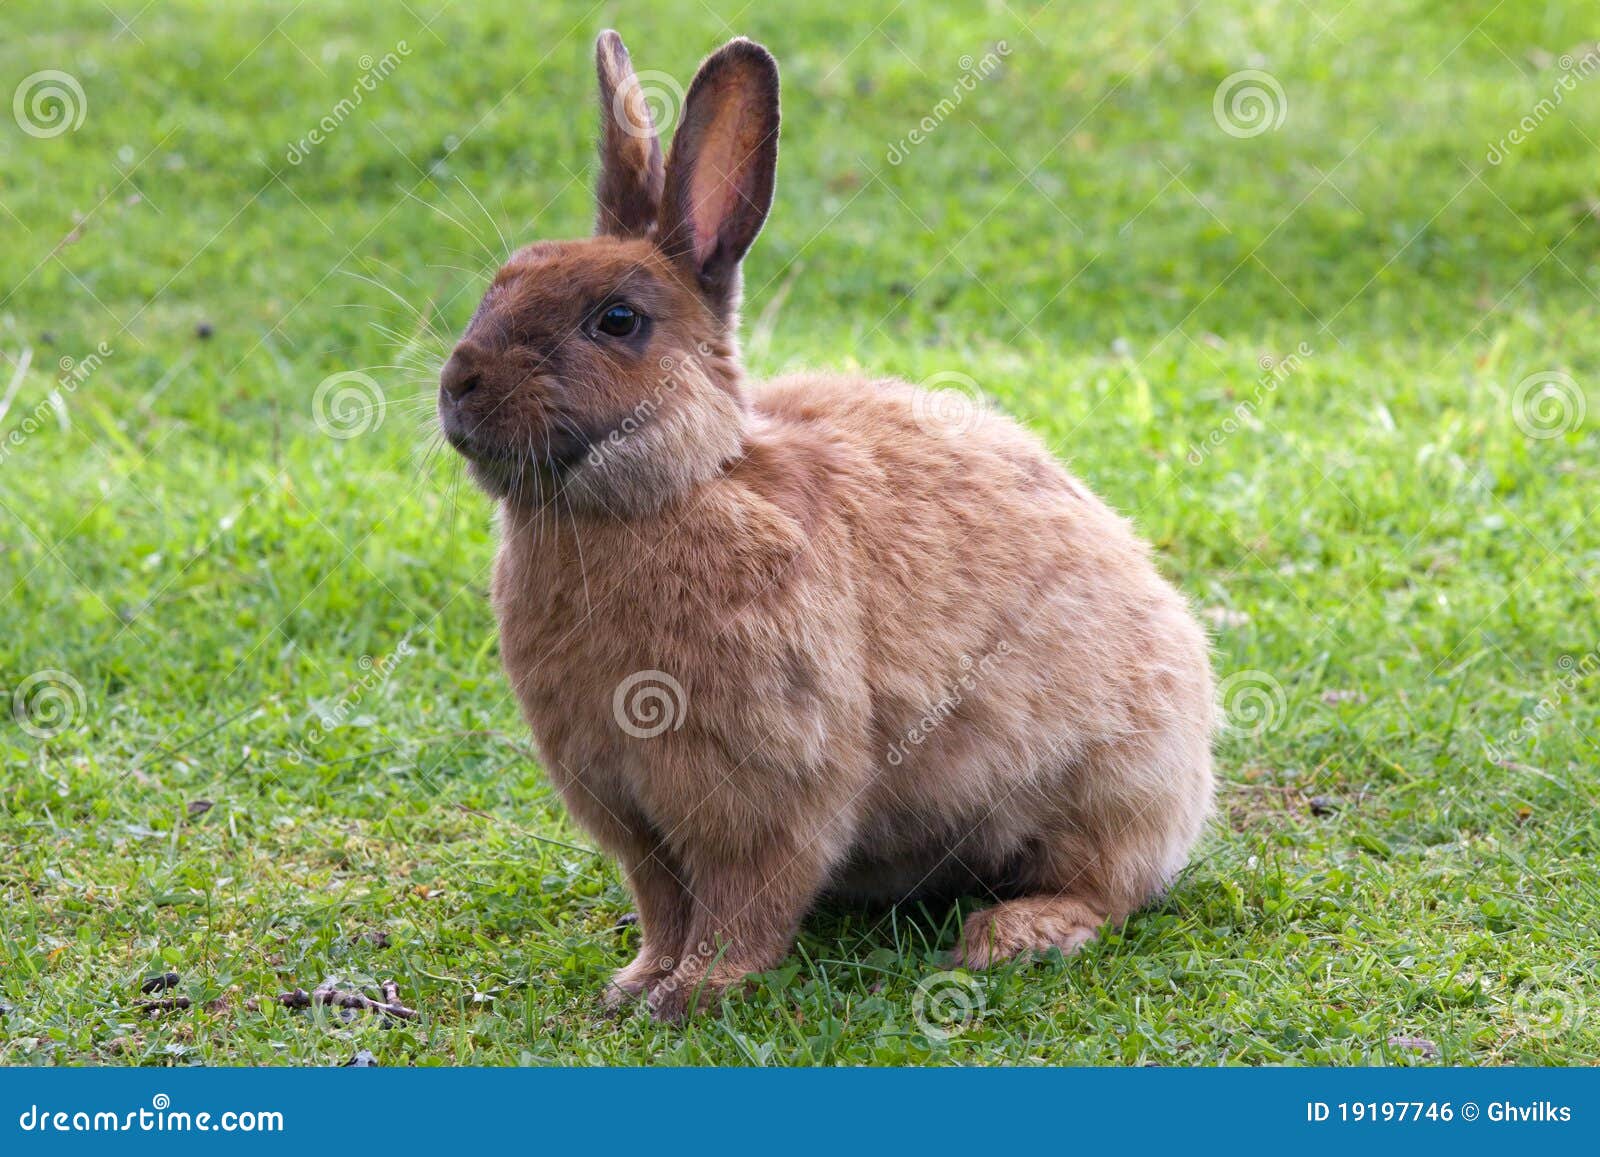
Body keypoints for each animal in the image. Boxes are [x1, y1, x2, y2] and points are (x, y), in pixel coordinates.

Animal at [436, 30, 1215, 1022]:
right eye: (499, 284)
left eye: (618, 320)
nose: (459, 382)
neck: (674, 488)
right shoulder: (631, 813)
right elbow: (661, 901)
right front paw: (636, 984)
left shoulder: (766, 789)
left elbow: (745, 898)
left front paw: (697, 991)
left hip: (1109, 784)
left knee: (1109, 886)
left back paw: (1010, 934)